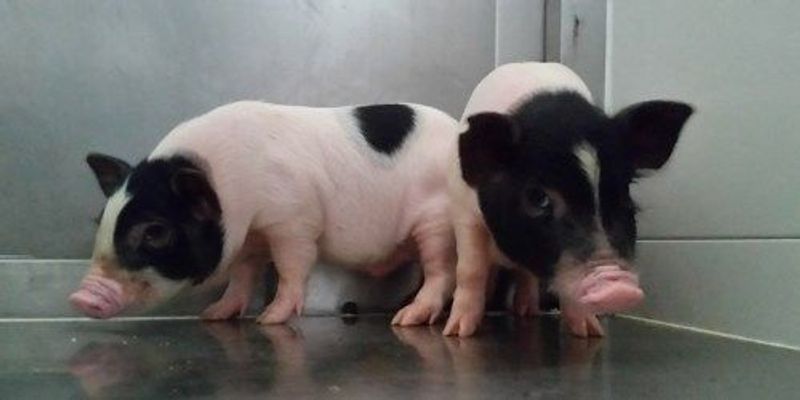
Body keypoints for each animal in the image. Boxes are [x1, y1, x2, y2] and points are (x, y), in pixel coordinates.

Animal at [70, 101, 458, 326]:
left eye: (155, 232)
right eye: (100, 220)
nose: (80, 298)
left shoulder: (294, 220)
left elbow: (292, 268)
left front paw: (269, 320)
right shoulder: (249, 241)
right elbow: (242, 277)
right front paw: (213, 316)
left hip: (436, 220)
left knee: (441, 271)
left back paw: (406, 318)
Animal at [443, 63, 693, 337]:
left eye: (623, 195)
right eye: (538, 198)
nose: (617, 288)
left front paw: (590, 331)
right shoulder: (464, 215)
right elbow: (471, 270)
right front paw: (457, 332)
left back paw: (528, 311)